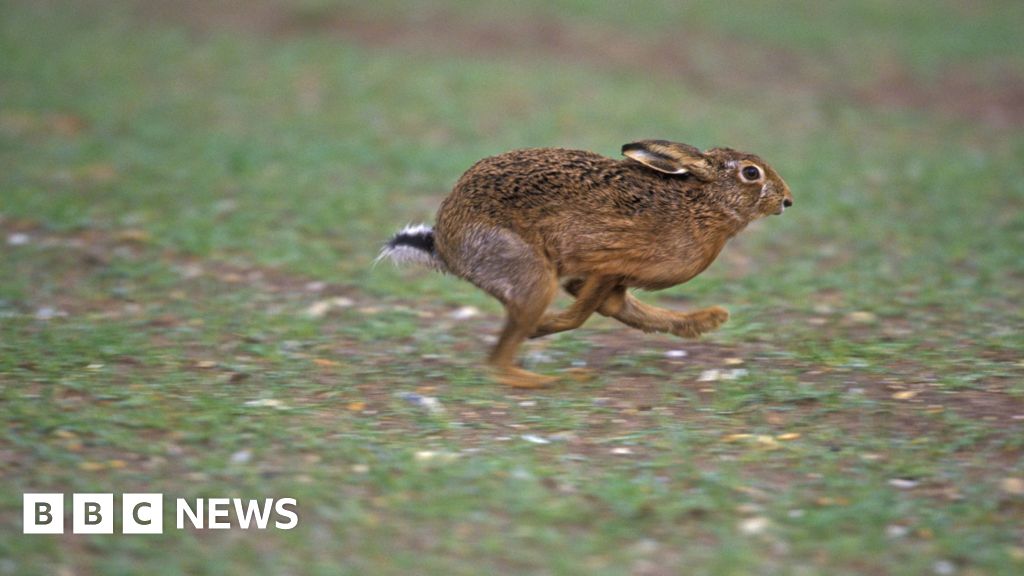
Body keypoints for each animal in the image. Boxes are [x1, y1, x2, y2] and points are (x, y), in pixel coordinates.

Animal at [379, 140, 793, 388]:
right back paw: (545, 378)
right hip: (530, 275)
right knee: (498, 360)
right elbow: (581, 314)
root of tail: (445, 244)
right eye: (751, 173)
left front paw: (708, 320)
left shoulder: (612, 278)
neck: (703, 206)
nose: (787, 200)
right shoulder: (608, 264)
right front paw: (543, 330)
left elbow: (621, 308)